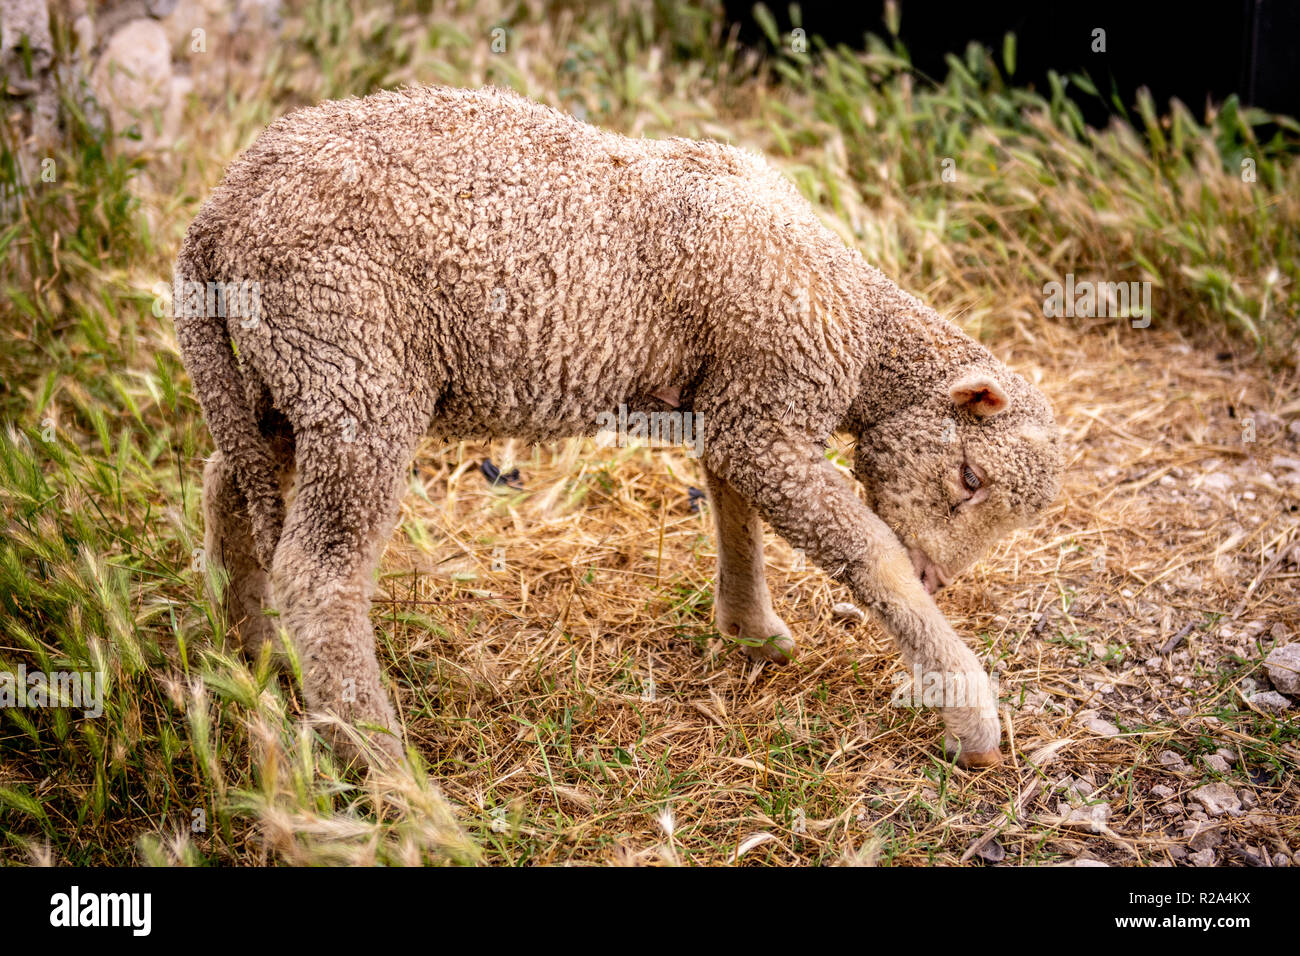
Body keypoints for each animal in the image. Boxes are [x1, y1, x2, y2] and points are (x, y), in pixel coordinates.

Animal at [175, 85, 1063, 769]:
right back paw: (388, 770)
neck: (860, 321)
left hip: (293, 373)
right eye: (969, 478)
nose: (939, 576)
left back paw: (249, 650)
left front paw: (750, 629)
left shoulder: (735, 405)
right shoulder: (768, 414)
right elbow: (871, 554)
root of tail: (218, 212)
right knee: (318, 576)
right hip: (354, 368)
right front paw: (969, 712)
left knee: (230, 478)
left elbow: (734, 508)